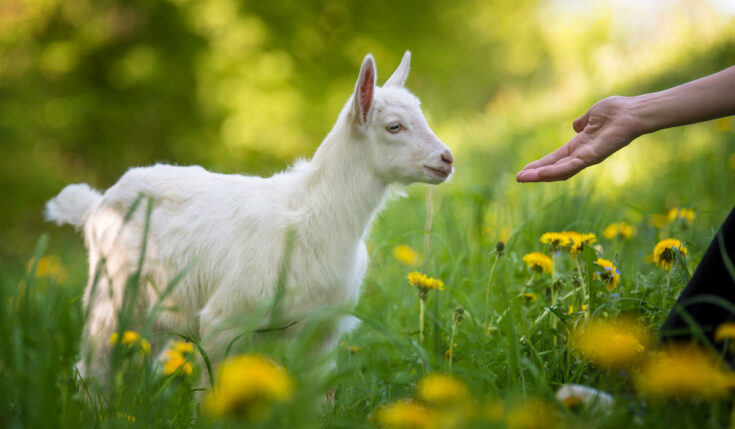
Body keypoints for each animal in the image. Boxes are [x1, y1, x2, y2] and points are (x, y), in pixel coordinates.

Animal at [45, 51, 454, 387]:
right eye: (394, 126)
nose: (447, 158)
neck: (313, 214)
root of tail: (95, 205)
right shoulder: (224, 322)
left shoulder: (320, 330)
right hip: (110, 297)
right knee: (92, 369)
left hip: (155, 311)